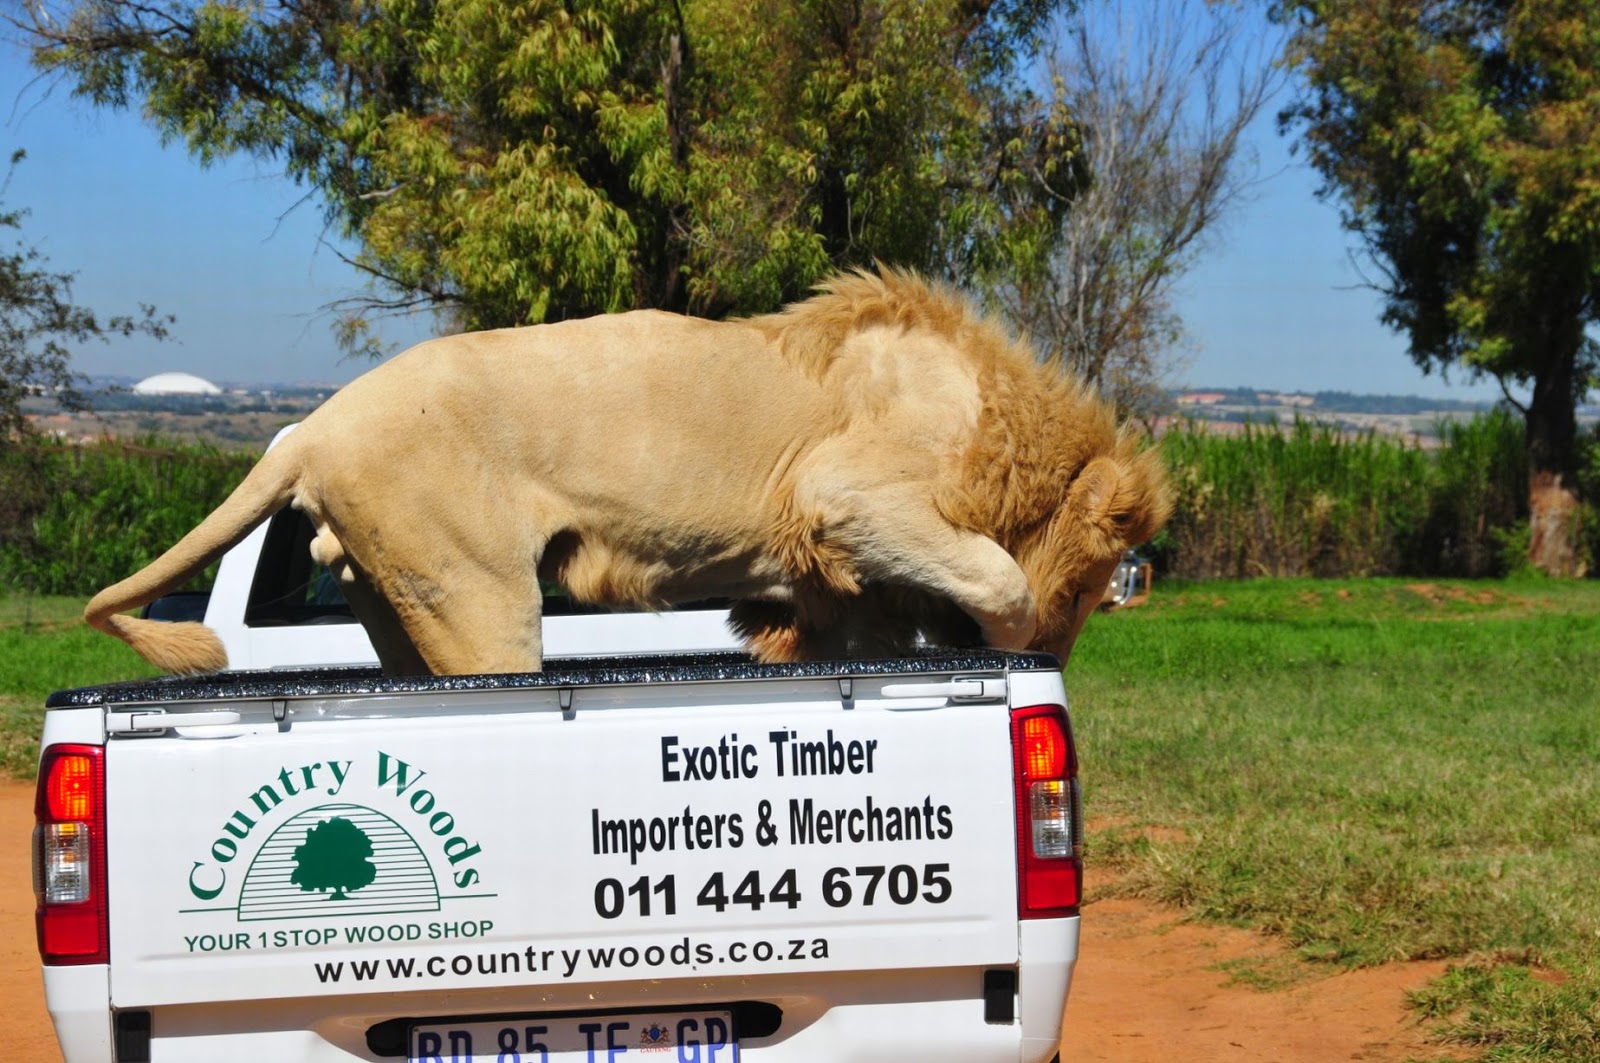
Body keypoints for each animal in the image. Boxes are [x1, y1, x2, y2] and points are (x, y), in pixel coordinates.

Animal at [84, 268, 1170, 676]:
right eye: (1095, 584)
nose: (1062, 664)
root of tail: (311, 429)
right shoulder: (844, 500)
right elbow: (1004, 579)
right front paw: (1004, 642)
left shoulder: (845, 593)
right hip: (480, 592)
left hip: (395, 593)